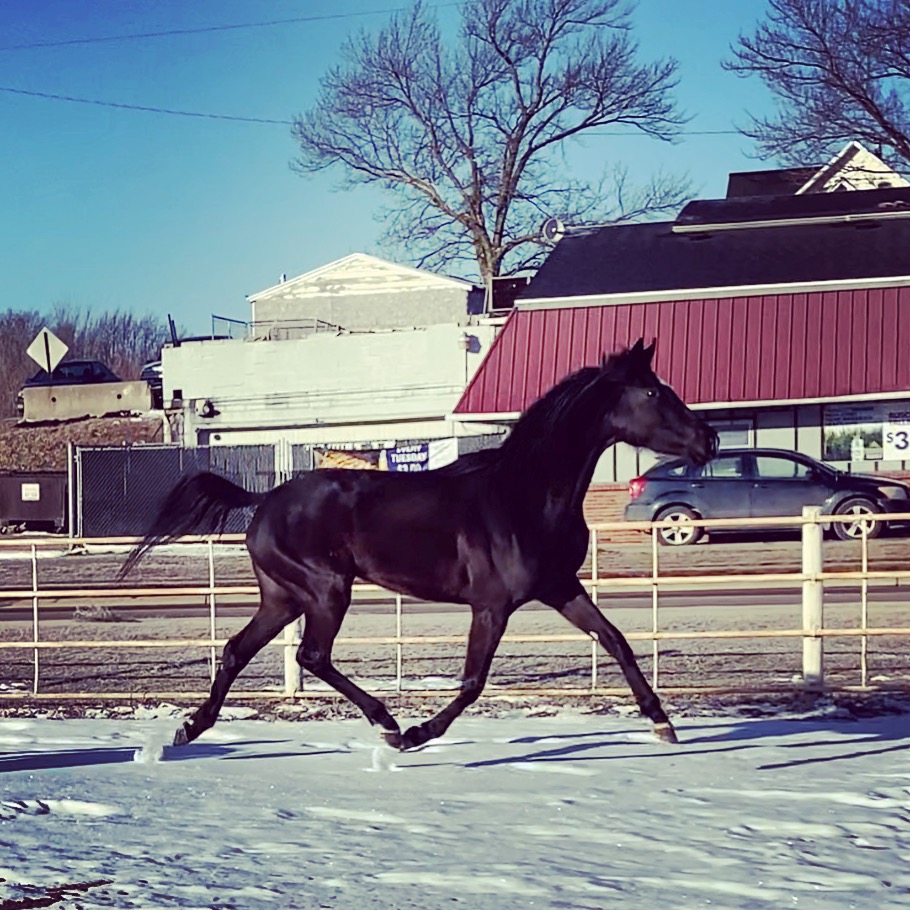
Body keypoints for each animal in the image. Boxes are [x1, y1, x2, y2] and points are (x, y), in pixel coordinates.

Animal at [121, 339, 717, 750]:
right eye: (652, 392)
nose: (708, 439)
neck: (527, 494)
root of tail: (265, 499)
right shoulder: (492, 606)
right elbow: (473, 681)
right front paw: (416, 734)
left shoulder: (560, 587)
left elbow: (617, 641)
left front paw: (662, 722)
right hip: (325, 591)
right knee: (312, 655)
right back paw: (387, 724)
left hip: (283, 597)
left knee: (237, 650)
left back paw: (191, 728)